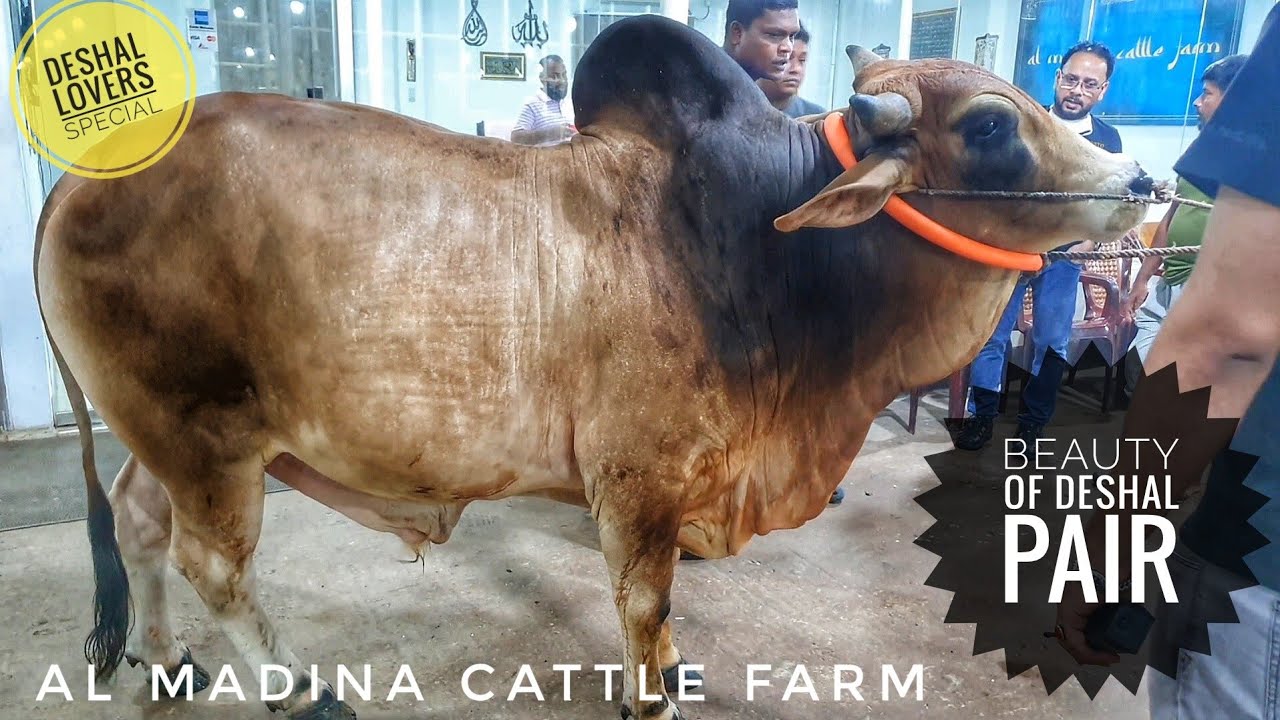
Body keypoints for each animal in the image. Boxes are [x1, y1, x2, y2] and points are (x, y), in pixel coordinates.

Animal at [33, 15, 1150, 720]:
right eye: (990, 124)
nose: (1140, 178)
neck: (762, 249)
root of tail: (80, 178)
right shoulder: (638, 486)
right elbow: (643, 606)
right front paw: (649, 695)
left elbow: (663, 616)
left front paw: (672, 672)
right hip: (208, 438)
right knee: (214, 565)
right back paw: (297, 689)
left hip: (170, 437)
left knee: (138, 524)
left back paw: (168, 662)